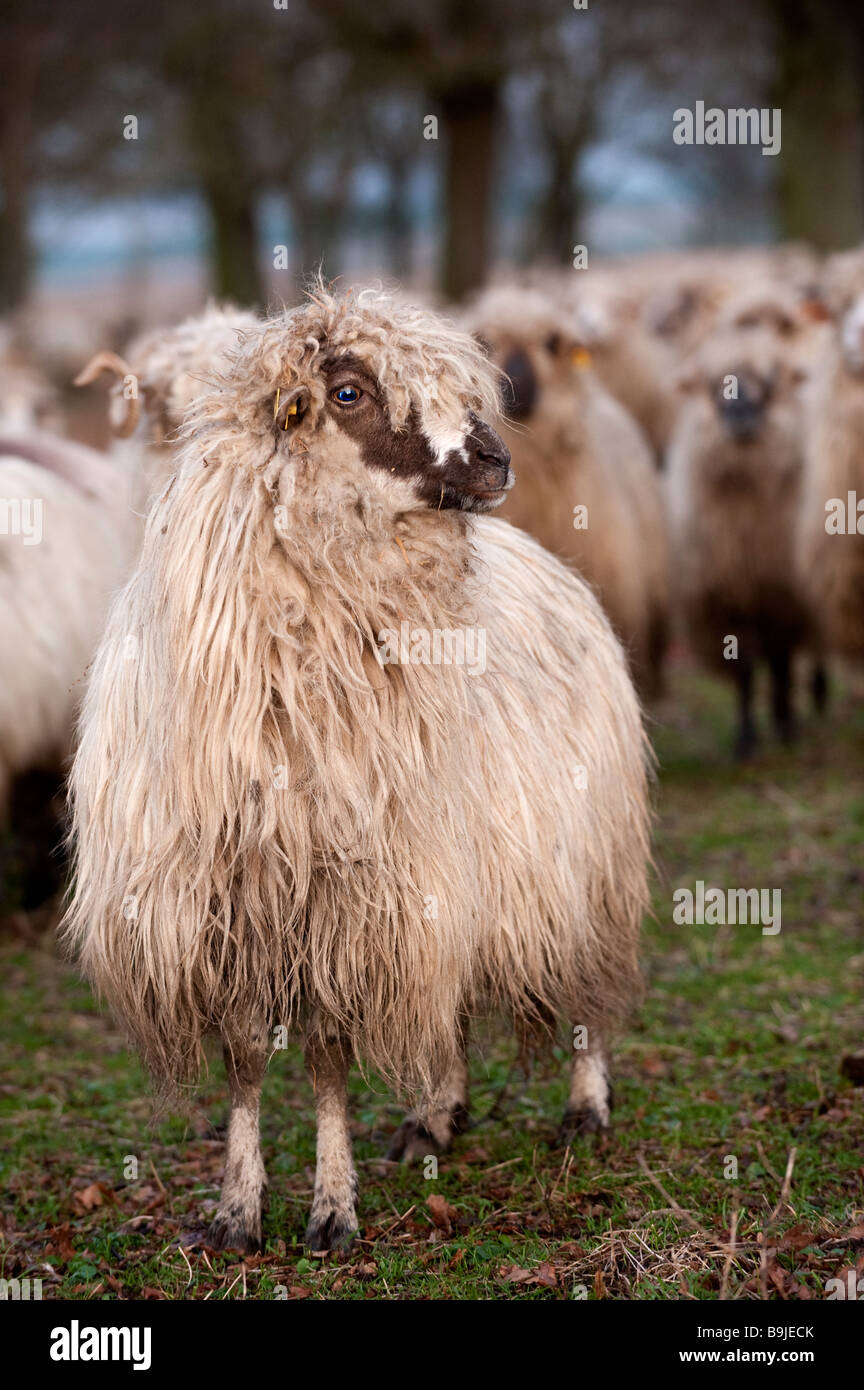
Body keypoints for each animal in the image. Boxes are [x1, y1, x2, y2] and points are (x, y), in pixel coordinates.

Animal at [666, 325, 816, 756]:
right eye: (713, 384)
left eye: (770, 381)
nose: (741, 420)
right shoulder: (728, 599)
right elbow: (746, 669)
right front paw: (746, 739)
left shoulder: (784, 596)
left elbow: (781, 660)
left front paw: (784, 725)